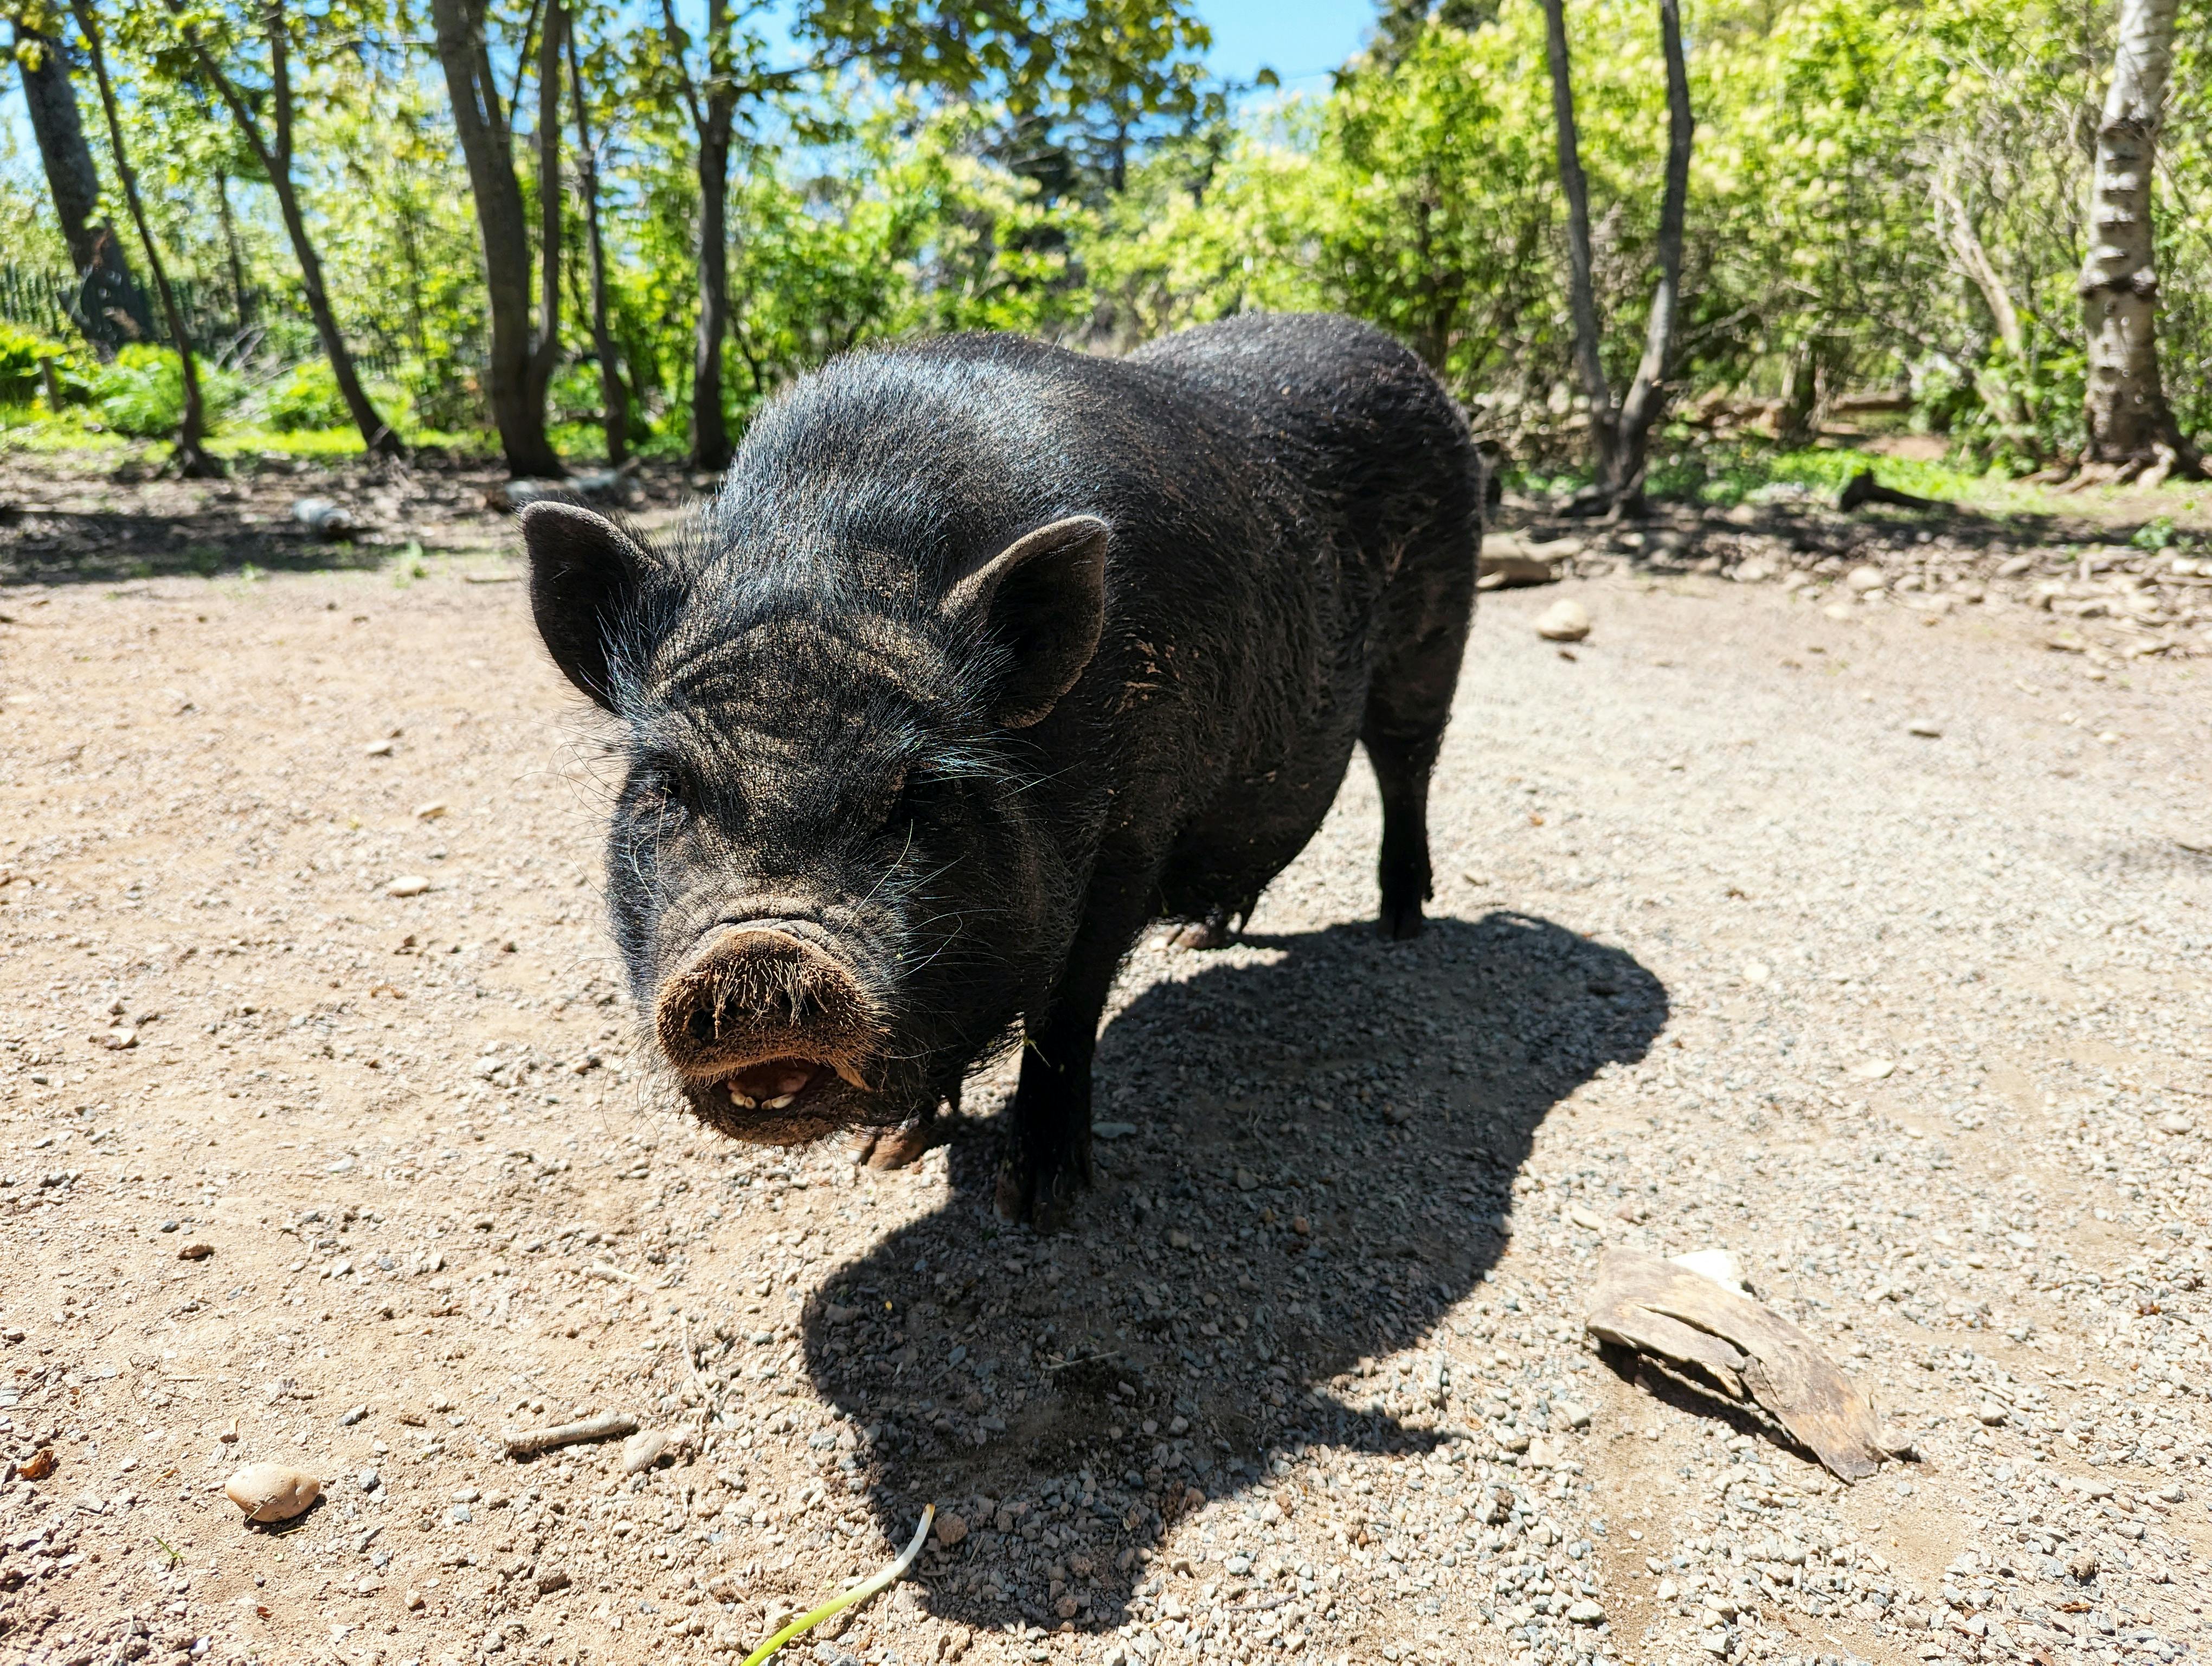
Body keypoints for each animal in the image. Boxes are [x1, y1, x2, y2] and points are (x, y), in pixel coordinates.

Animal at [523, 312, 1479, 1227]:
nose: (758, 953)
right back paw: (1199, 936)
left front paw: (1038, 1205)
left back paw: (1400, 927)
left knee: (1407, 767)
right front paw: (883, 1154)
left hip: (1434, 634)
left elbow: (1067, 1010)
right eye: (667, 785)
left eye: (918, 792)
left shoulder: (1135, 827)